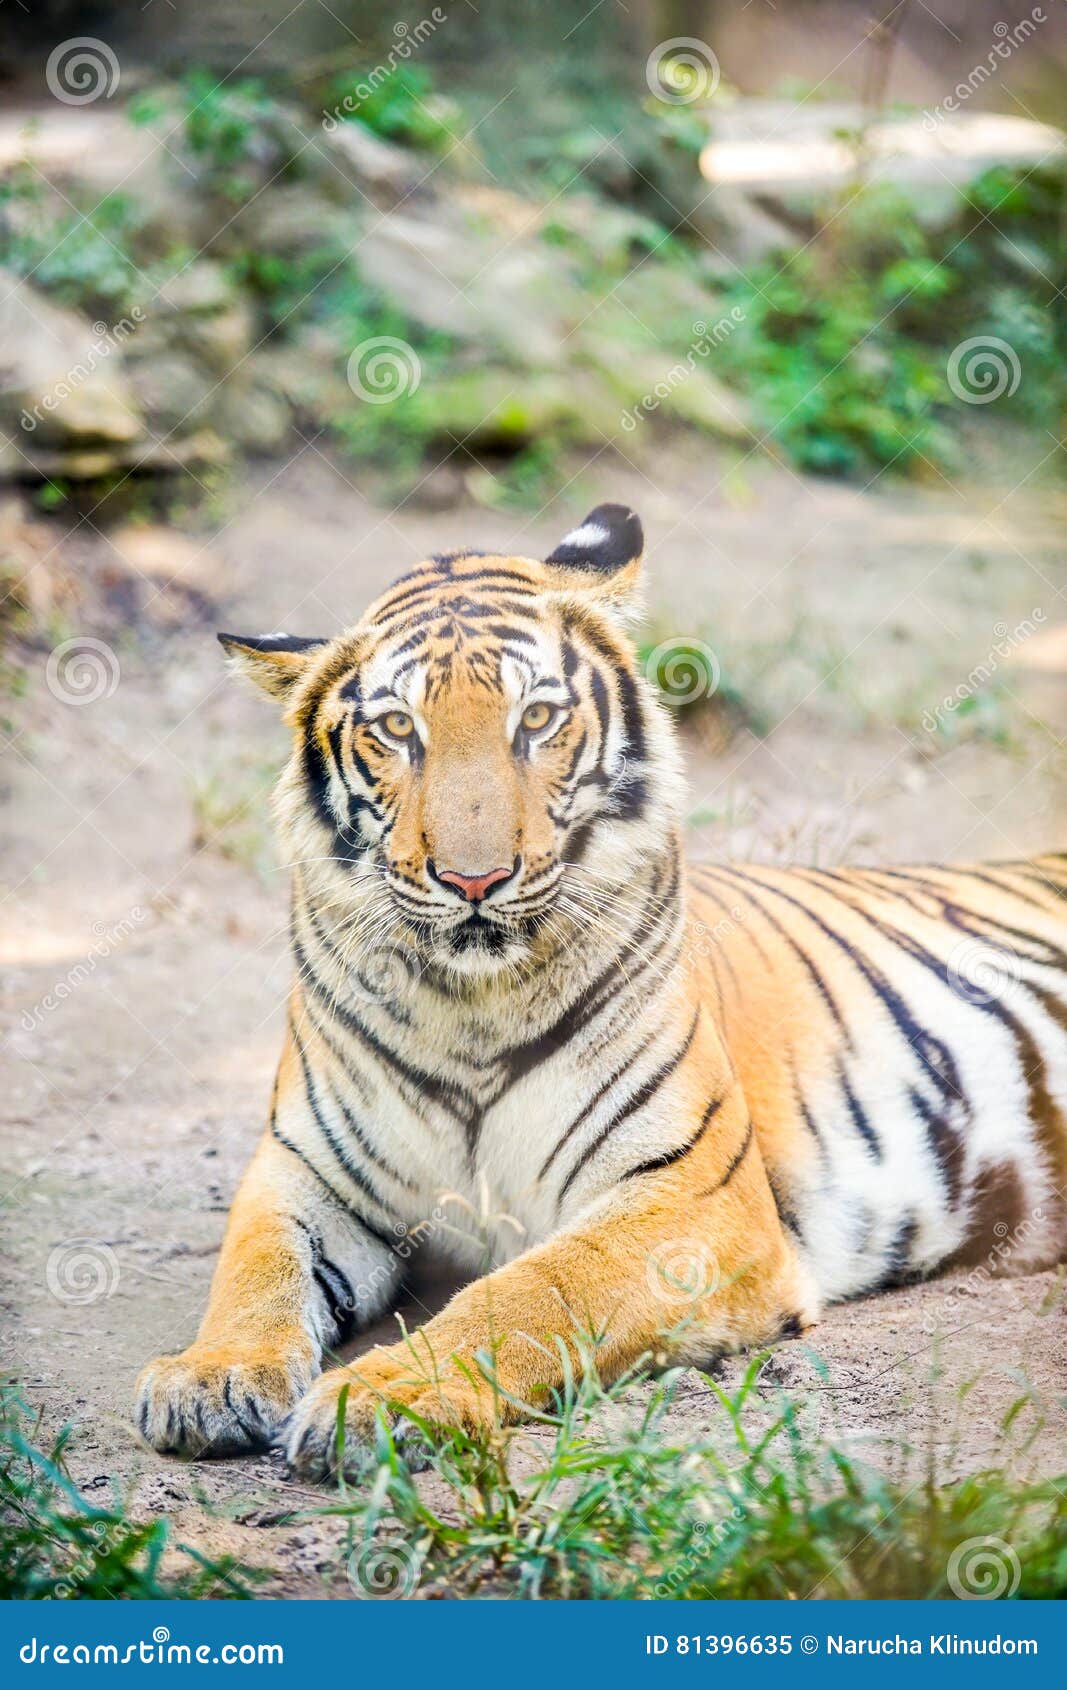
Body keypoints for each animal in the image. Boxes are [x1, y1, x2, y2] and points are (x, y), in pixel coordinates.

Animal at [134, 503, 1067, 1480]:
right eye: (395, 729)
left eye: (537, 718)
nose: (474, 880)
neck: (465, 1006)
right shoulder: (302, 1168)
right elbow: (254, 1270)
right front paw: (208, 1375)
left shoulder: (688, 1198)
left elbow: (529, 1291)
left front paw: (380, 1397)